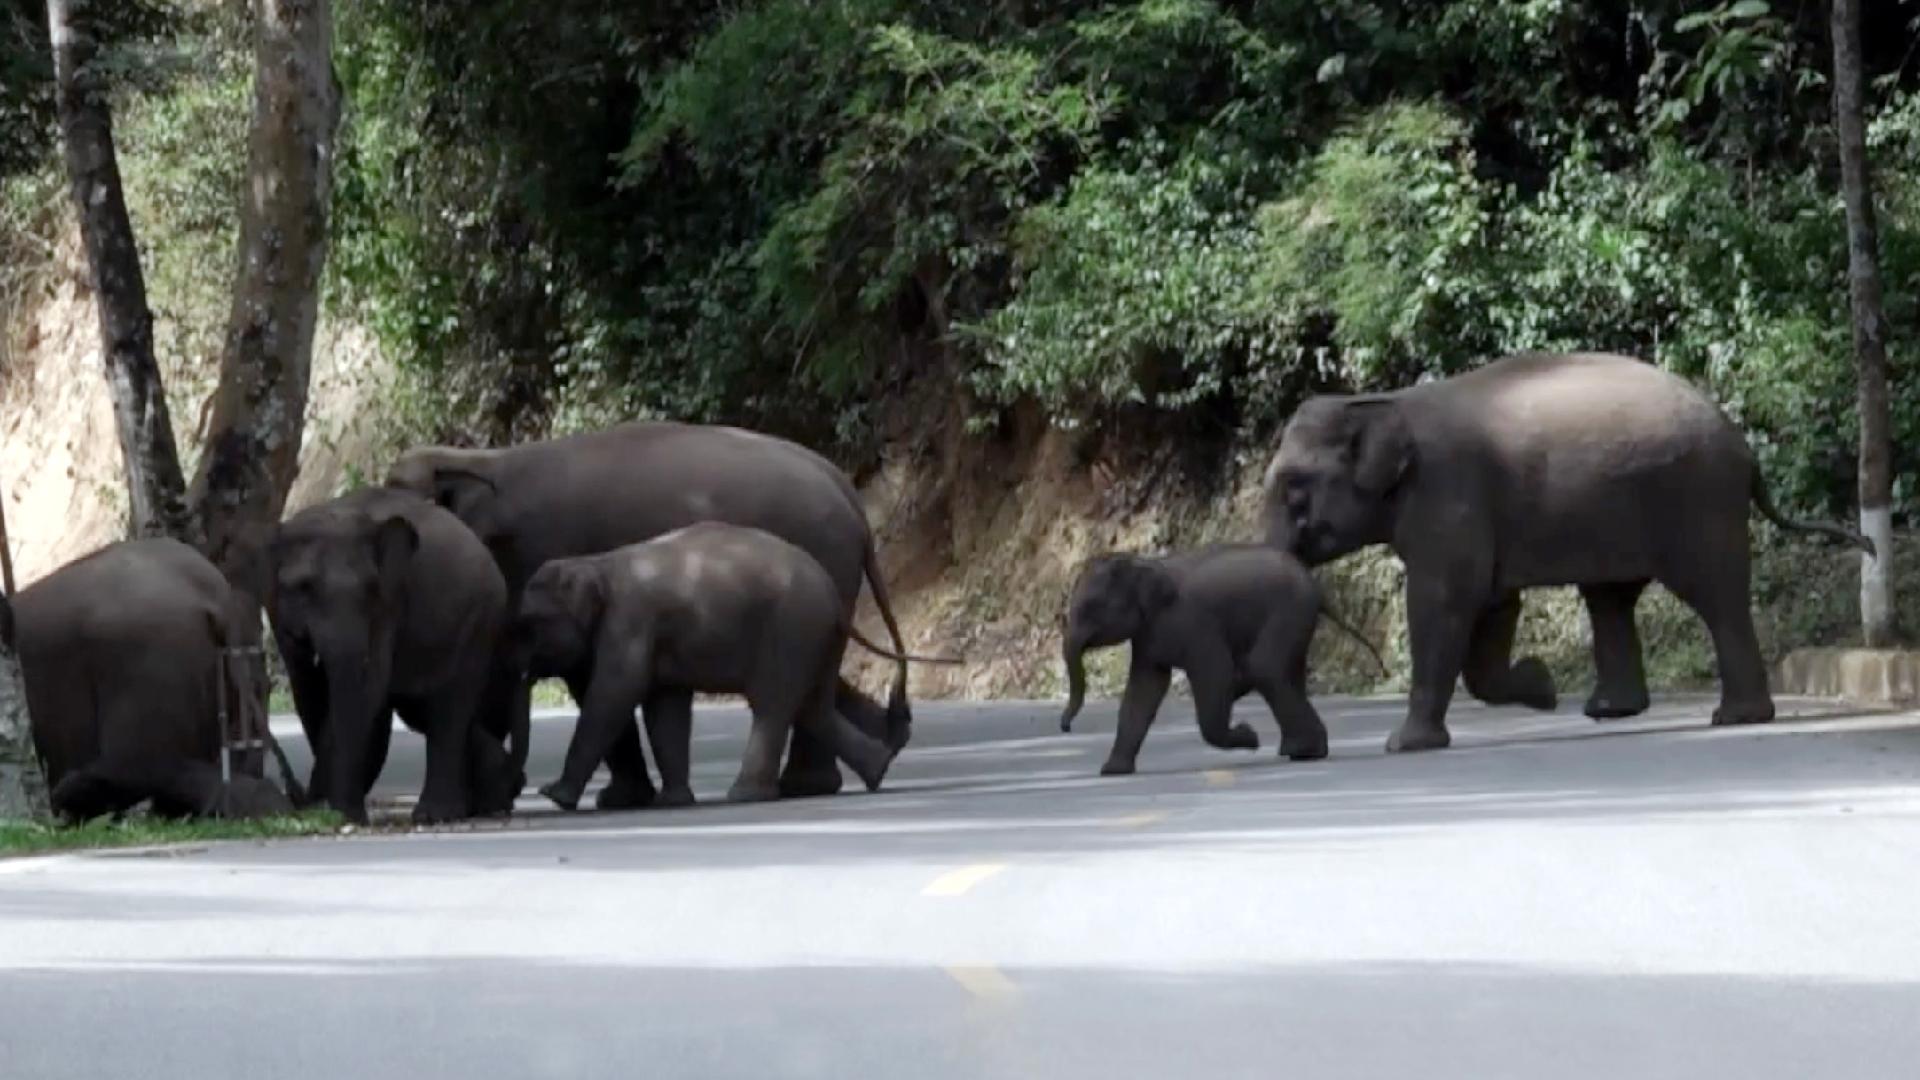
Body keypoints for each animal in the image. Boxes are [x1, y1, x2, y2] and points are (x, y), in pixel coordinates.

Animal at [266, 487, 521, 825]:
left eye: (371, 588)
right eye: (303, 587)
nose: (301, 798)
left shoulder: (389, 604)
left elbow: (367, 691)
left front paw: (339, 813)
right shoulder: (276, 610)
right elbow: (308, 693)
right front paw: (326, 809)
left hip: (480, 620)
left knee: (449, 708)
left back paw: (436, 814)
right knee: (421, 709)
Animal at [513, 523, 905, 809]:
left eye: (531, 623)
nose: (526, 788)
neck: (594, 564)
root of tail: (834, 598)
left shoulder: (630, 621)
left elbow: (615, 692)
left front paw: (556, 796)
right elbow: (664, 706)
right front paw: (673, 802)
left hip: (792, 627)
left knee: (773, 705)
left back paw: (745, 795)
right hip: (816, 635)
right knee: (813, 708)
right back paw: (880, 767)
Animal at [1058, 544, 1386, 775]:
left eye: (1090, 608)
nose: (1065, 727)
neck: (1146, 562)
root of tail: (1315, 584)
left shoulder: (1195, 622)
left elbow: (1215, 673)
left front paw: (1250, 737)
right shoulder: (1148, 634)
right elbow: (1144, 690)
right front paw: (1112, 771)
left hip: (1289, 611)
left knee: (1264, 667)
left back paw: (1305, 752)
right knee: (1285, 672)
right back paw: (1299, 750)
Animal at [1261, 351, 1873, 754]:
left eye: (1294, 489)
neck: (1382, 403)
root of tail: (1746, 450)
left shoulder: (1448, 495)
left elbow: (1445, 601)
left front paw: (1404, 745)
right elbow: (1491, 603)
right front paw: (1542, 688)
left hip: (1699, 502)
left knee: (1714, 596)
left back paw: (1735, 718)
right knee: (1611, 600)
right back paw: (1611, 711)